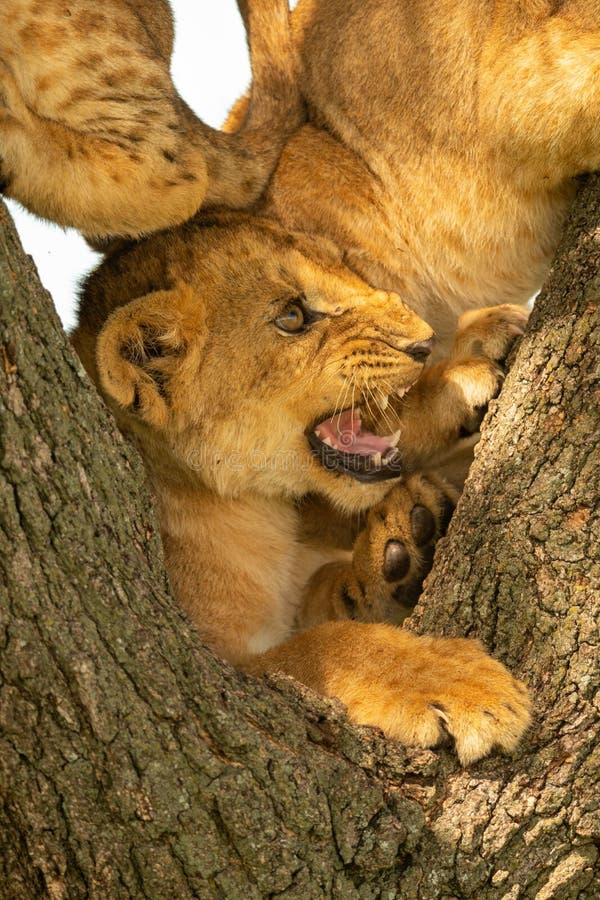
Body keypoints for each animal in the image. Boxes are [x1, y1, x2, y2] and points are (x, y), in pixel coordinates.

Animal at [72, 212, 531, 765]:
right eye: (292, 317)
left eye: (348, 269)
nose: (423, 342)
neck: (260, 512)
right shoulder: (219, 663)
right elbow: (325, 647)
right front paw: (464, 685)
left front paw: (474, 351)